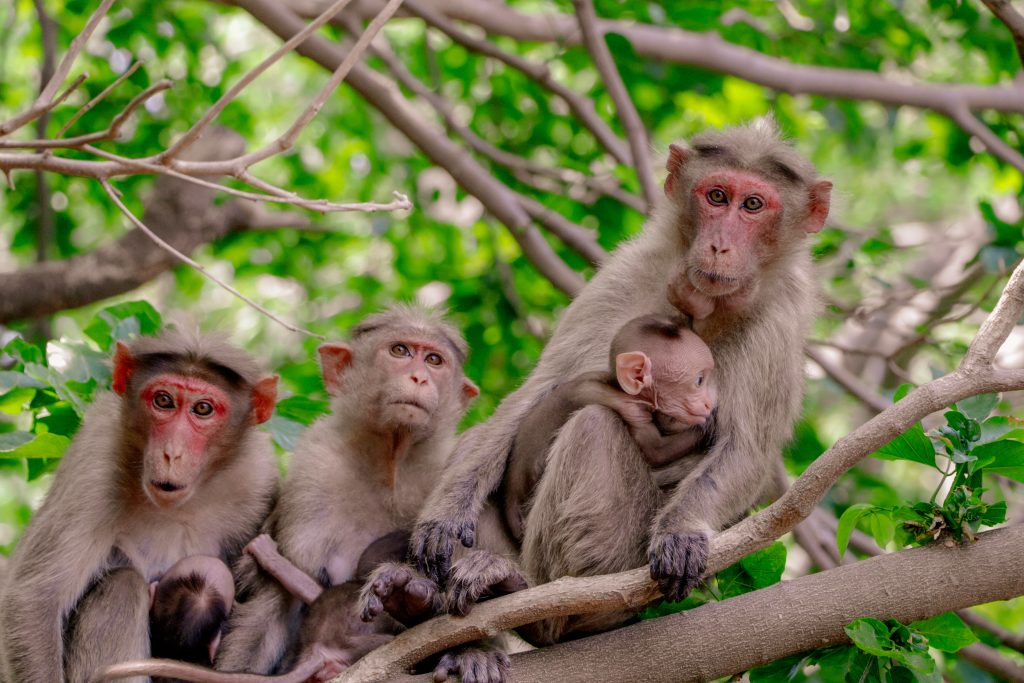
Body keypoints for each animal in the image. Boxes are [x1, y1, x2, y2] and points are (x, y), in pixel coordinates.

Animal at [0, 331, 279, 682]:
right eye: (163, 401)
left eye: (203, 408)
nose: (172, 453)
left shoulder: (258, 476)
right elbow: (33, 602)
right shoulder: (96, 455)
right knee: (123, 585)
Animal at [216, 306, 513, 683]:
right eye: (400, 351)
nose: (419, 377)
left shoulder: (457, 460)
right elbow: (289, 584)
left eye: (434, 360)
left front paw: (474, 651)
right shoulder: (315, 467)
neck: (391, 461)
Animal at [500, 314, 717, 542]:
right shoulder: (632, 409)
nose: (708, 404)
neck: (617, 385)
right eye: (699, 380)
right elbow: (655, 451)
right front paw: (705, 427)